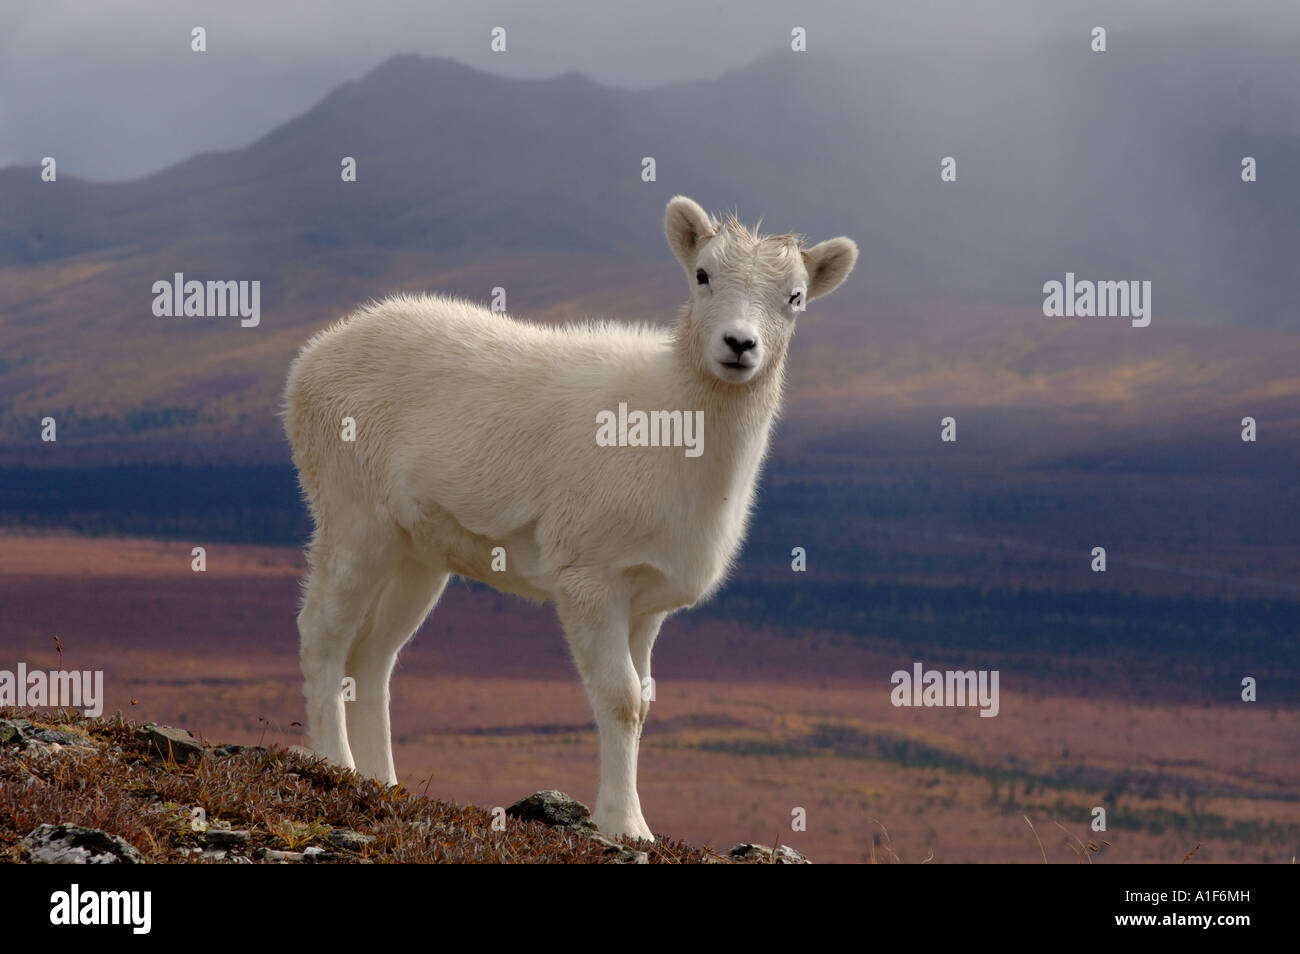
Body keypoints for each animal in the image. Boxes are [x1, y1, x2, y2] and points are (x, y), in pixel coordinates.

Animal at [282, 196, 857, 841]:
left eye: (795, 297)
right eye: (703, 275)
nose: (739, 345)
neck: (671, 432)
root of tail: (310, 362)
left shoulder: (646, 604)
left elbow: (644, 702)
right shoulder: (590, 584)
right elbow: (620, 699)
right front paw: (625, 825)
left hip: (418, 560)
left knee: (373, 657)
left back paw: (383, 783)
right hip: (355, 525)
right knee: (323, 633)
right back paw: (335, 764)